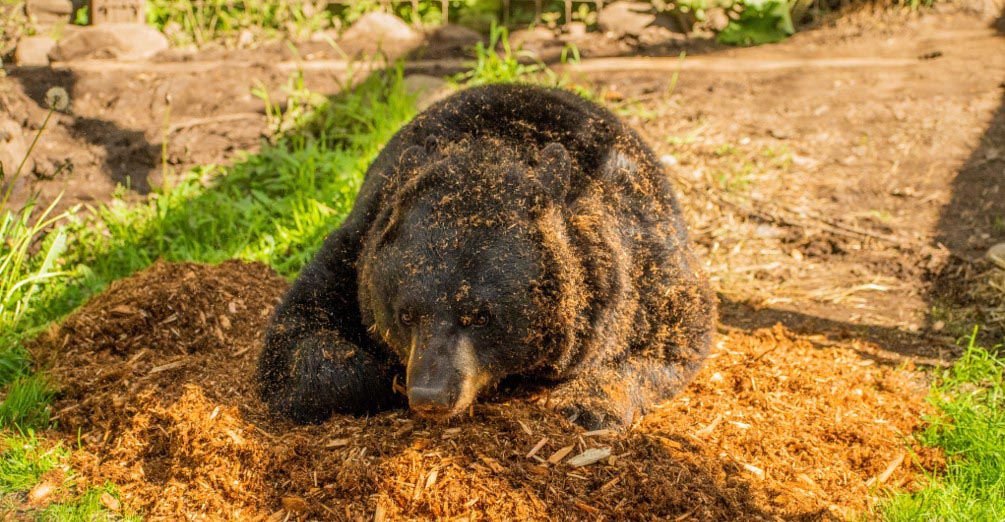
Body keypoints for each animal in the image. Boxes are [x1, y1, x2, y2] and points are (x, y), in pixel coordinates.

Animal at [257, 83, 716, 429]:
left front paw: (586, 402)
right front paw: (374, 375)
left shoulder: (637, 257)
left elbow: (678, 330)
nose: (431, 394)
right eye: (405, 315)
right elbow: (299, 337)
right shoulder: (356, 245)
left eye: (480, 316)